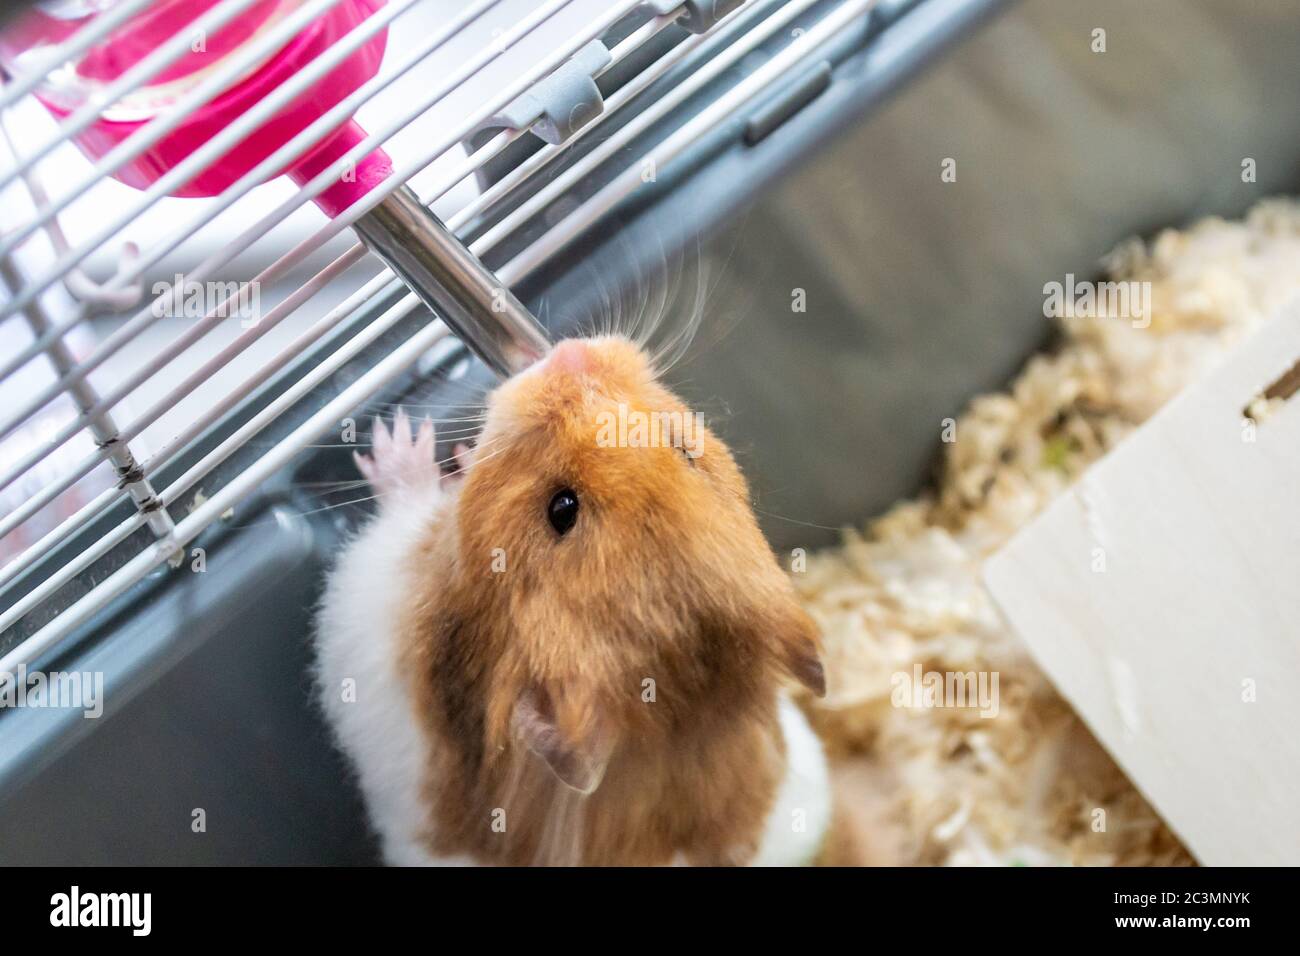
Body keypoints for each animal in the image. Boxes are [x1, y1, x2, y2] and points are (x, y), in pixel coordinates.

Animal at [314, 336, 832, 866]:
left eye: (562, 508)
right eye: (685, 450)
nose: (572, 353)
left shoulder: (375, 594)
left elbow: (403, 508)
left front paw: (395, 443)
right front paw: (455, 457)